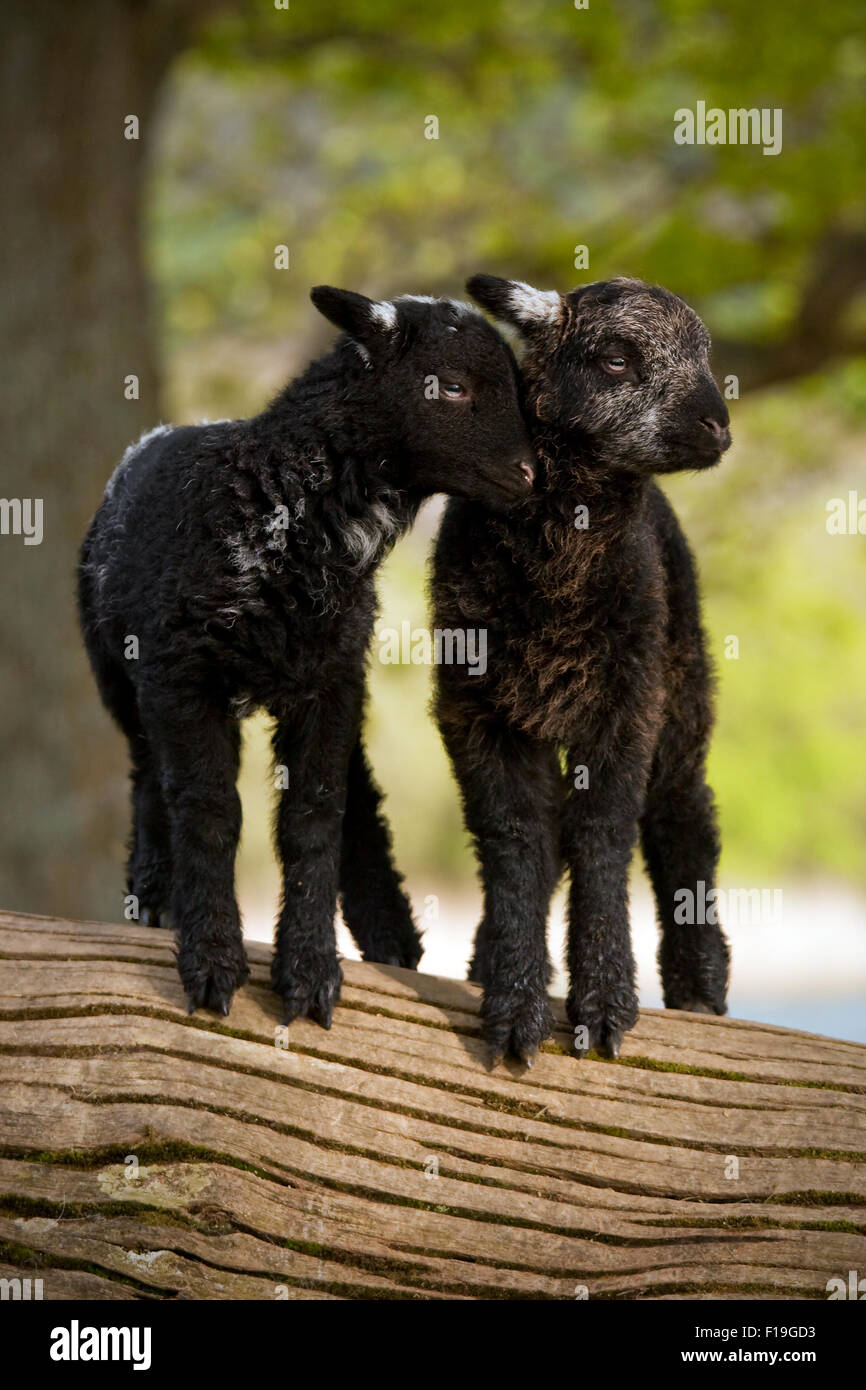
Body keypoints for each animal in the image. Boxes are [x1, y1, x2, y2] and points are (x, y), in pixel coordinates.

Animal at [77, 286, 535, 1022]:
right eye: (452, 386)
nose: (529, 474)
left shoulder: (333, 681)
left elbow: (314, 815)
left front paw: (311, 972)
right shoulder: (183, 675)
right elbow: (209, 810)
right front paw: (212, 963)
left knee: (357, 793)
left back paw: (390, 937)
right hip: (121, 677)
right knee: (148, 777)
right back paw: (152, 899)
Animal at [429, 274, 732, 1064]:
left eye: (705, 353)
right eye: (616, 359)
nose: (717, 425)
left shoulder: (626, 706)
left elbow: (604, 836)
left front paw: (604, 1006)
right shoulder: (476, 708)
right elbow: (514, 838)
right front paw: (514, 1005)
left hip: (681, 684)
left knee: (684, 814)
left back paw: (699, 986)